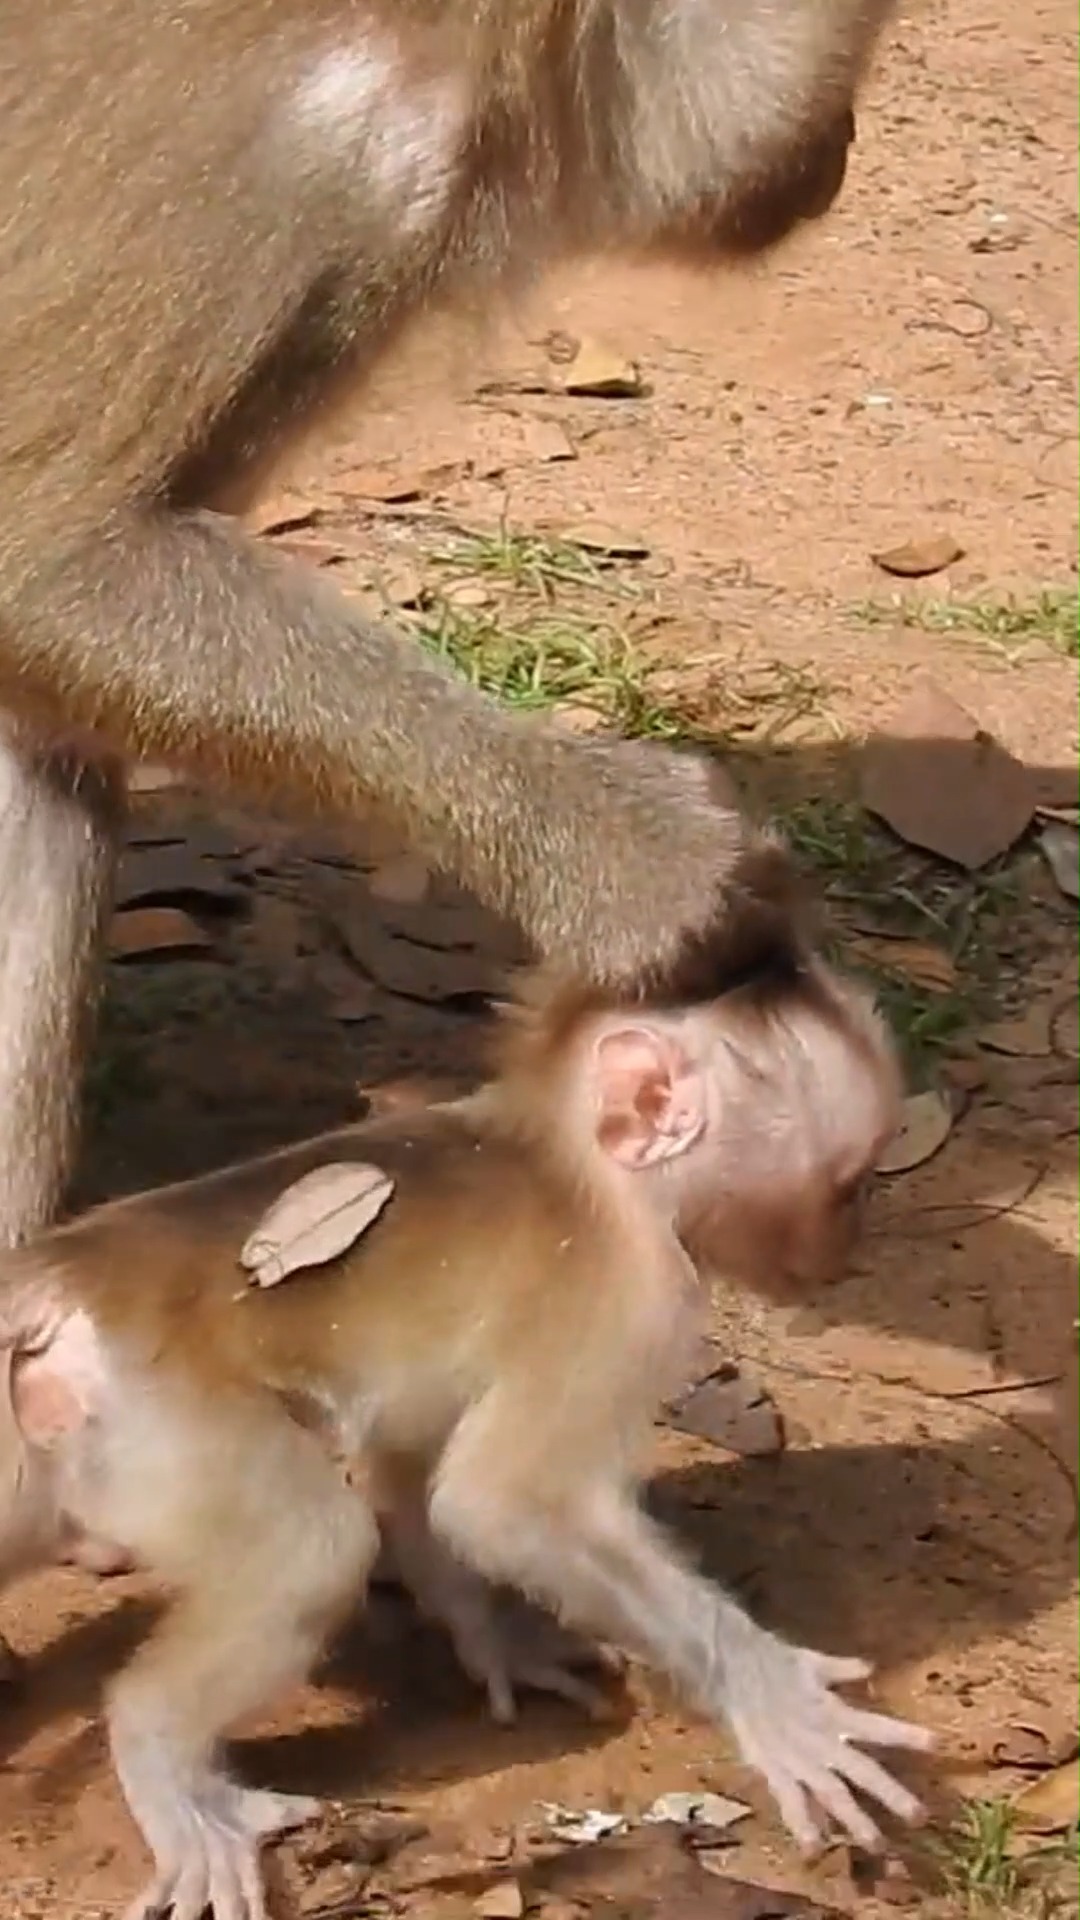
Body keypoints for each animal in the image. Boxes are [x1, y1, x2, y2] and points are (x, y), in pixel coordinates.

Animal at [0, 951, 933, 1919]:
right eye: (848, 1184)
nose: (846, 1251)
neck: (582, 1165)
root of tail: (60, 1280)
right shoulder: (631, 1293)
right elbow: (504, 1503)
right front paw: (769, 1695)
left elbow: (417, 1470)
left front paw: (494, 1636)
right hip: (156, 1412)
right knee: (312, 1548)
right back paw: (158, 1752)